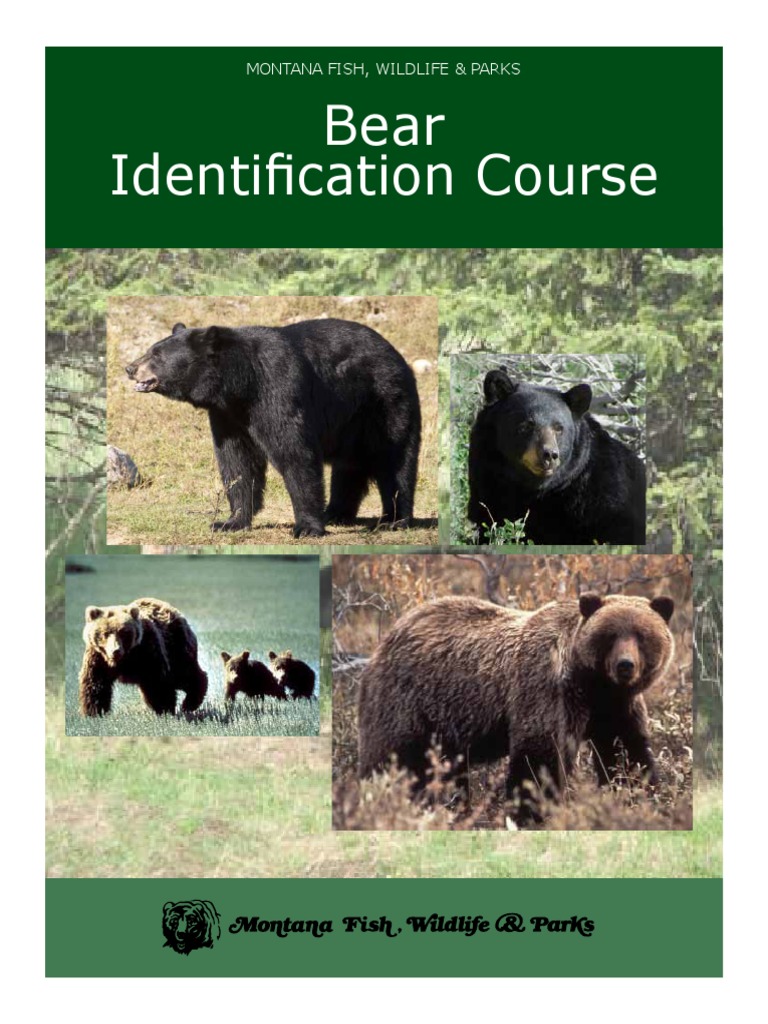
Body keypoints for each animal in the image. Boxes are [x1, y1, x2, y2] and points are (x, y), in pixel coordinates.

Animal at [78, 597, 208, 716]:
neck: (123, 660)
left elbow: (156, 680)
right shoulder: (97, 657)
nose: (116, 650)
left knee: (185, 674)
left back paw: (189, 703)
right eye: (105, 633)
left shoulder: (146, 650)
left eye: (123, 632)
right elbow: (95, 683)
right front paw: (94, 712)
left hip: (177, 646)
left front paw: (164, 709)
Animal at [125, 319, 422, 538]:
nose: (130, 368)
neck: (241, 385)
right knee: (349, 468)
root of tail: (397, 355)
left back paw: (395, 519)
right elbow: (237, 462)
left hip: (385, 403)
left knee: (396, 461)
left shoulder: (277, 388)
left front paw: (306, 527)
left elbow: (294, 452)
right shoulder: (228, 416)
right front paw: (230, 521)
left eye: (155, 354)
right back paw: (336, 513)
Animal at [357, 592, 674, 820]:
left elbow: (627, 756)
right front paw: (532, 814)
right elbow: (539, 758)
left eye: (642, 636)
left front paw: (639, 797)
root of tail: (387, 638)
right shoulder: (548, 692)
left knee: (447, 771)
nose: (625, 665)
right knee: (394, 761)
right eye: (610, 635)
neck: (592, 685)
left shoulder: (616, 709)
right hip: (408, 702)